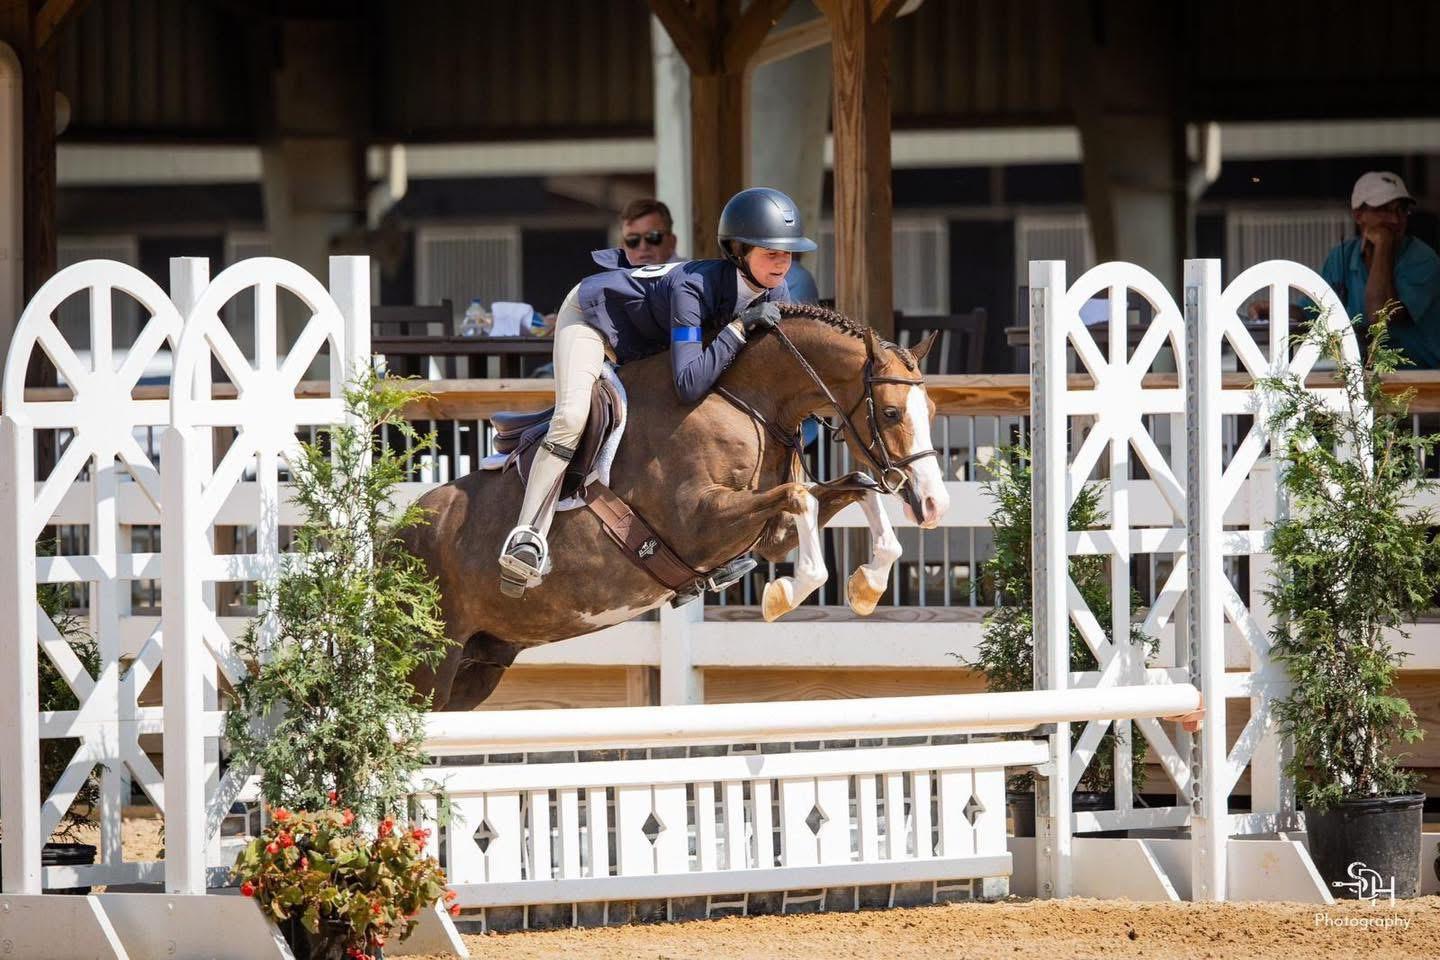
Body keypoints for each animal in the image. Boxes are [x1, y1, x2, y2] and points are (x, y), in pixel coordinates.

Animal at [402, 303, 951, 710]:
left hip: (479, 665)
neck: (744, 401)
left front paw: (867, 586)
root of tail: (393, 535)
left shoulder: (768, 533)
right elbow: (802, 499)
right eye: (891, 412)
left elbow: (855, 485)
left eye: (933, 411)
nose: (933, 504)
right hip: (429, 665)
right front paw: (786, 594)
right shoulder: (697, 524)